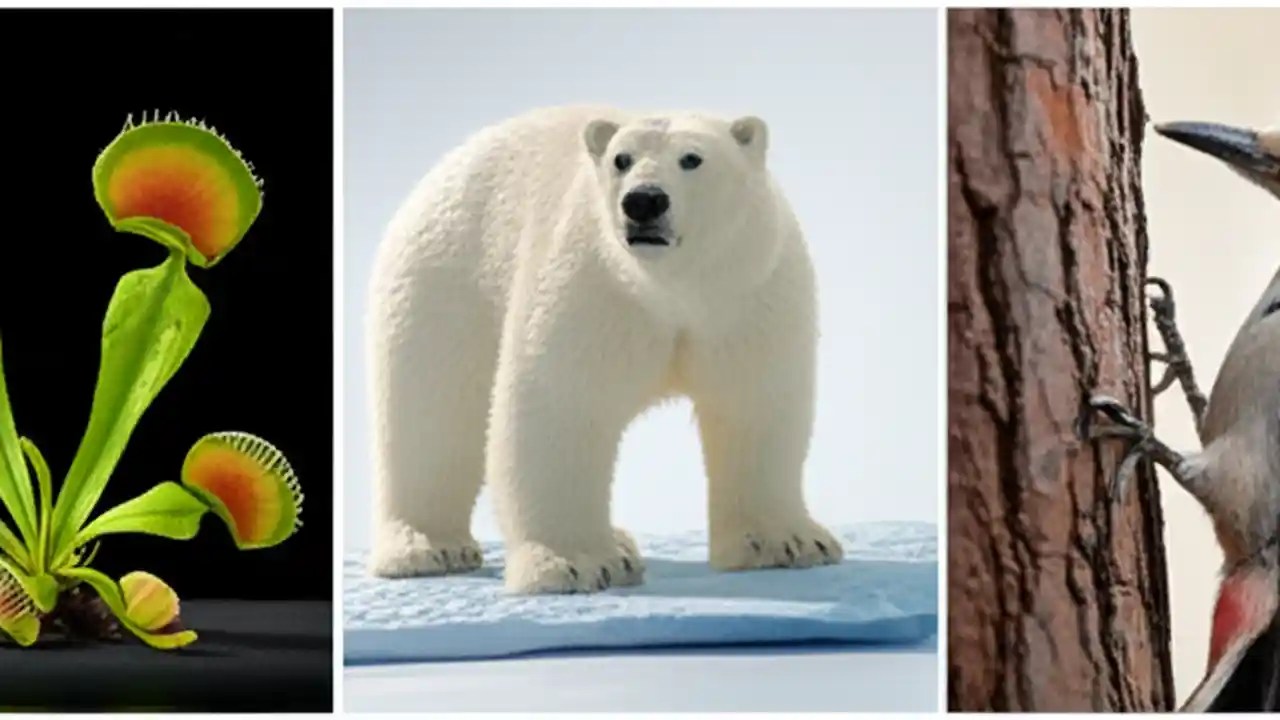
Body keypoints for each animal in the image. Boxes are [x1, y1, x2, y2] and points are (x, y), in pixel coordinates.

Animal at [366, 105, 843, 594]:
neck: (673, 290)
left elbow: (755, 407)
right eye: (621, 159)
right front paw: (575, 564)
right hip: (444, 280)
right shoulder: (590, 286)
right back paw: (428, 549)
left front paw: (786, 544)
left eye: (692, 158)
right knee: (432, 415)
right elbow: (561, 408)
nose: (643, 202)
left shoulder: (751, 298)